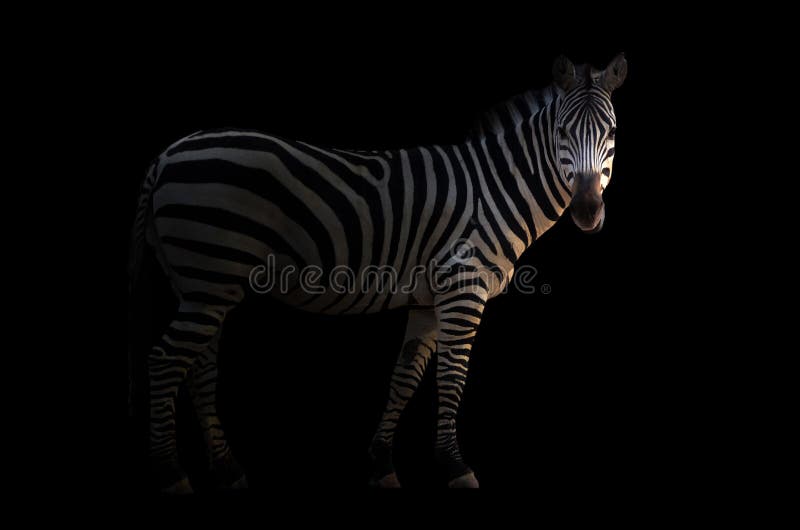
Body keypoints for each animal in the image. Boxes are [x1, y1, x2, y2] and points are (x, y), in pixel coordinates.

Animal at [128, 54, 627, 492]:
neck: (496, 189)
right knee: (165, 361)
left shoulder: (428, 297)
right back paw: (171, 474)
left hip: (202, 281)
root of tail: (166, 155)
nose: (587, 212)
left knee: (199, 367)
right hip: (209, 273)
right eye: (561, 132)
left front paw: (383, 464)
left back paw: (227, 469)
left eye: (612, 132)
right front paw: (455, 467)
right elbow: (453, 375)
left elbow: (404, 377)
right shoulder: (463, 287)